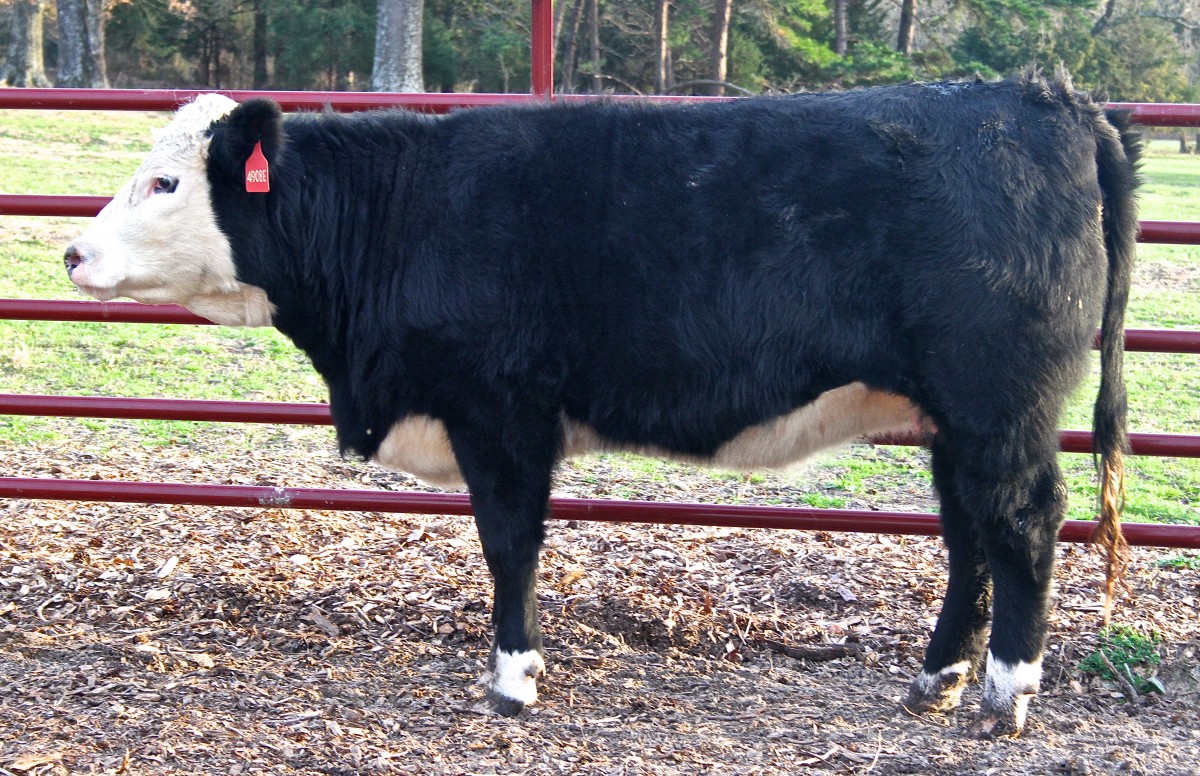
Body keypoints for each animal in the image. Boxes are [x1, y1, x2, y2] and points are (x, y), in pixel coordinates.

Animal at [63, 70, 1139, 737]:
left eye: (165, 182)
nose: (71, 251)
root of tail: (1049, 99)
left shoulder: (500, 412)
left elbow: (511, 543)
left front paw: (513, 677)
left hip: (999, 403)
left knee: (1024, 524)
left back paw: (1006, 694)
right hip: (953, 418)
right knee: (969, 536)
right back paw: (935, 678)